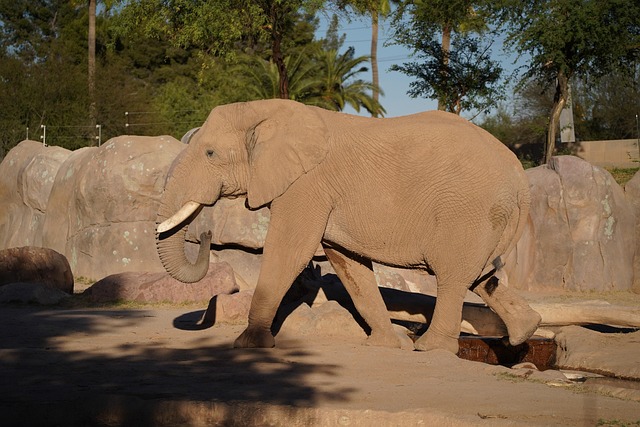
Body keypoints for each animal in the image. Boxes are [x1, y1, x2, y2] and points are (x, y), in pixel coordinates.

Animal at [156, 99, 541, 354]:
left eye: (210, 154)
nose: (206, 235)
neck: (268, 111)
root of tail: (521, 179)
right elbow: (347, 263)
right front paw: (387, 343)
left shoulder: (307, 184)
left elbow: (289, 250)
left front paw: (250, 344)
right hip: (487, 218)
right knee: (480, 276)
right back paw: (523, 333)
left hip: (467, 210)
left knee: (451, 276)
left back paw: (430, 347)